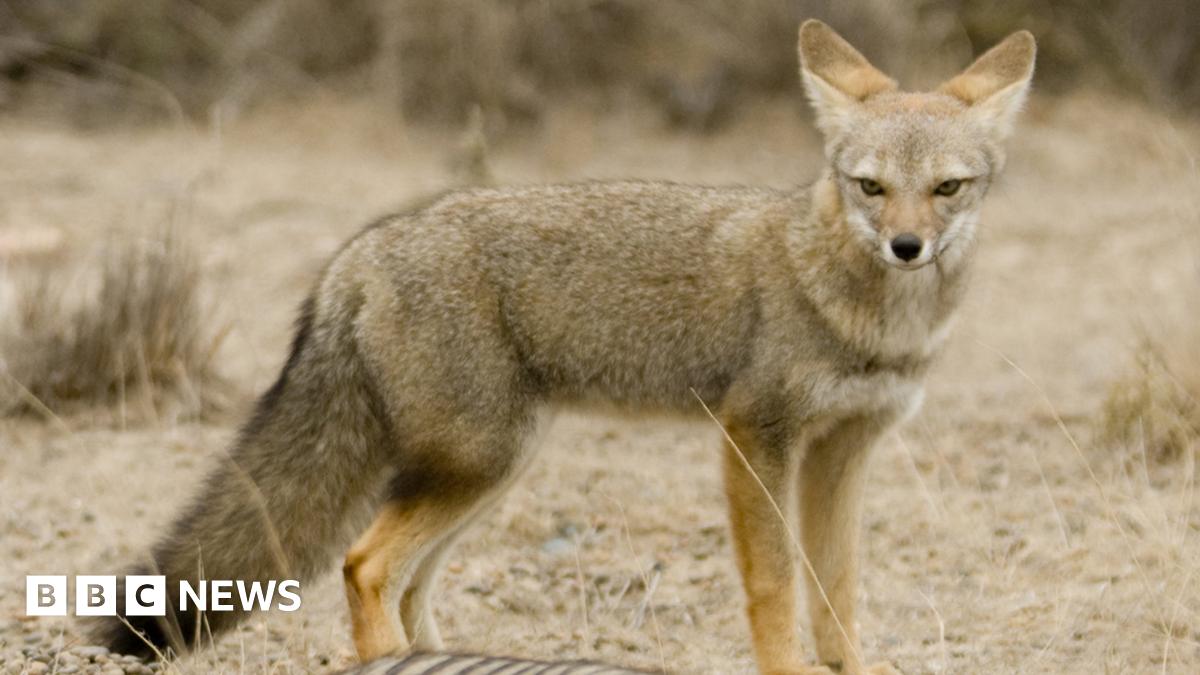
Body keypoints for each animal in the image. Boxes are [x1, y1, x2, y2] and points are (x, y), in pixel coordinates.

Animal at [92, 19, 1035, 675]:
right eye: (869, 186)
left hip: (490, 468)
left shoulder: (846, 448)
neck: (870, 312)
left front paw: (851, 663)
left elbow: (837, 586)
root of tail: (359, 252)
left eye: (948, 188)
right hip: (481, 460)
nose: (906, 247)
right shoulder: (754, 434)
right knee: (364, 565)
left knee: (409, 578)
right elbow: (774, 584)